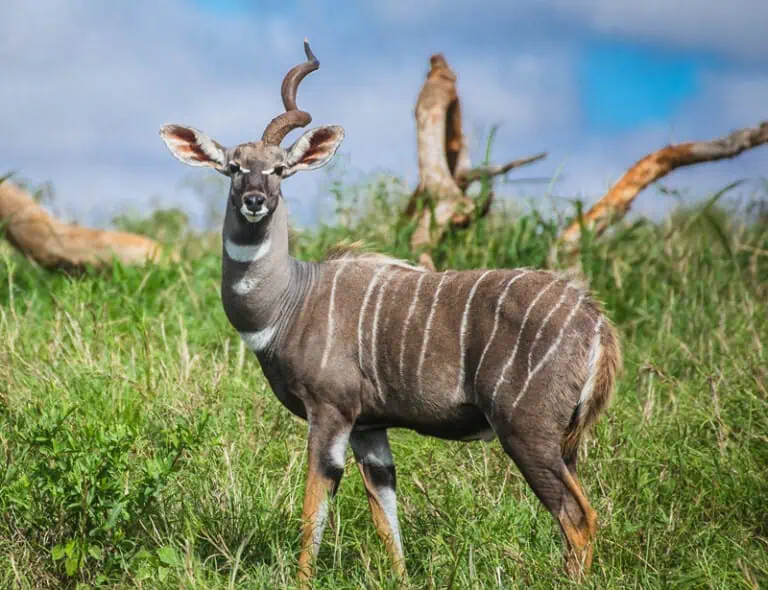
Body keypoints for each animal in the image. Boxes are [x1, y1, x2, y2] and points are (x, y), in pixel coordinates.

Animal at [159, 40, 621, 585]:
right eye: (233, 167)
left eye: (279, 169)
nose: (254, 200)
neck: (289, 301)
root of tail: (596, 322)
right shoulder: (369, 427)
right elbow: (386, 516)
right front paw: (400, 578)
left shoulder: (331, 411)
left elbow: (314, 508)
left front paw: (301, 579)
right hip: (564, 441)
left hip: (527, 432)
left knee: (578, 517)